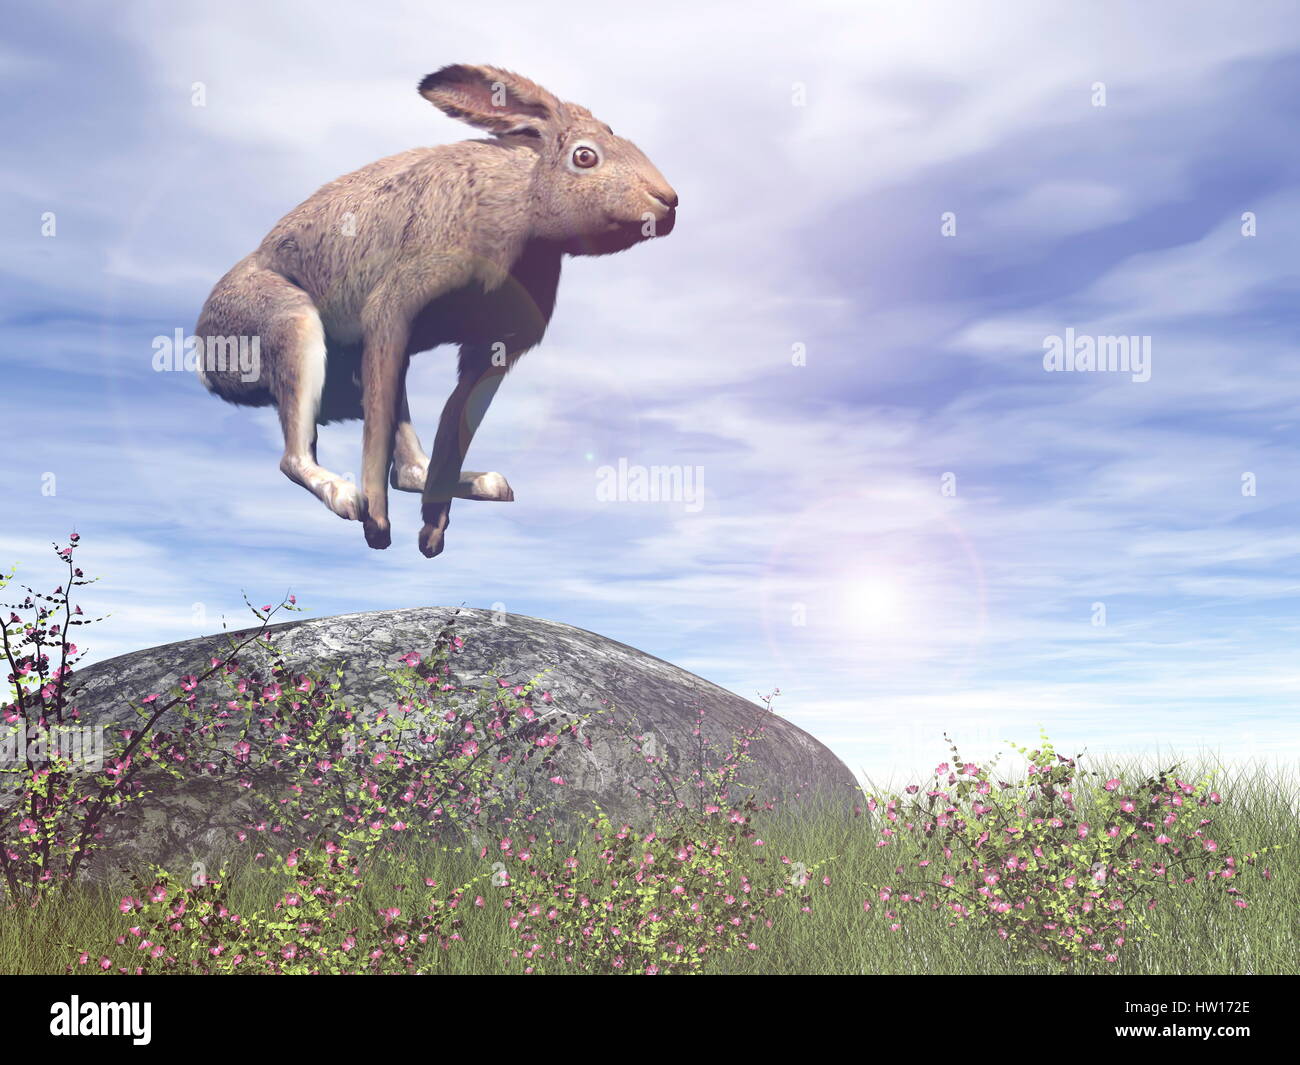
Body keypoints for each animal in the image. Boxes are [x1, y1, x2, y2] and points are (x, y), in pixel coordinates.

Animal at [194, 64, 677, 557]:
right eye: (584, 157)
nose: (668, 200)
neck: (523, 199)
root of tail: (207, 359)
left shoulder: (492, 348)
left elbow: (455, 425)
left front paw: (431, 535)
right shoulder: (394, 306)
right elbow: (379, 438)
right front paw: (378, 528)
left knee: (406, 466)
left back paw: (484, 483)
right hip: (291, 324)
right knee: (296, 454)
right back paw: (347, 496)